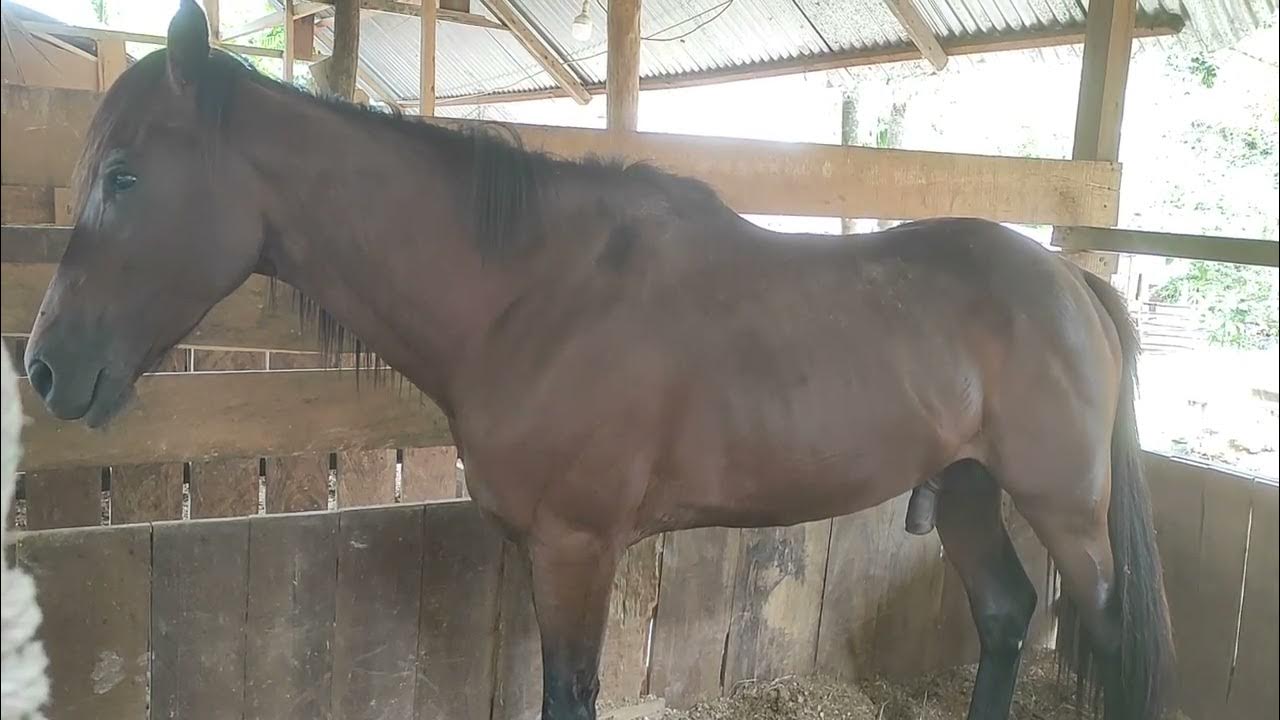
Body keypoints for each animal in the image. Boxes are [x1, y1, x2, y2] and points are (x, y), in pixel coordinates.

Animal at [22, 2, 1174, 719]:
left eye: (124, 176)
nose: (42, 371)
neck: (531, 296)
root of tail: (1070, 282)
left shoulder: (575, 550)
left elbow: (568, 696)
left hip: (1066, 511)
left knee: (1107, 637)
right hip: (968, 486)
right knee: (1005, 618)